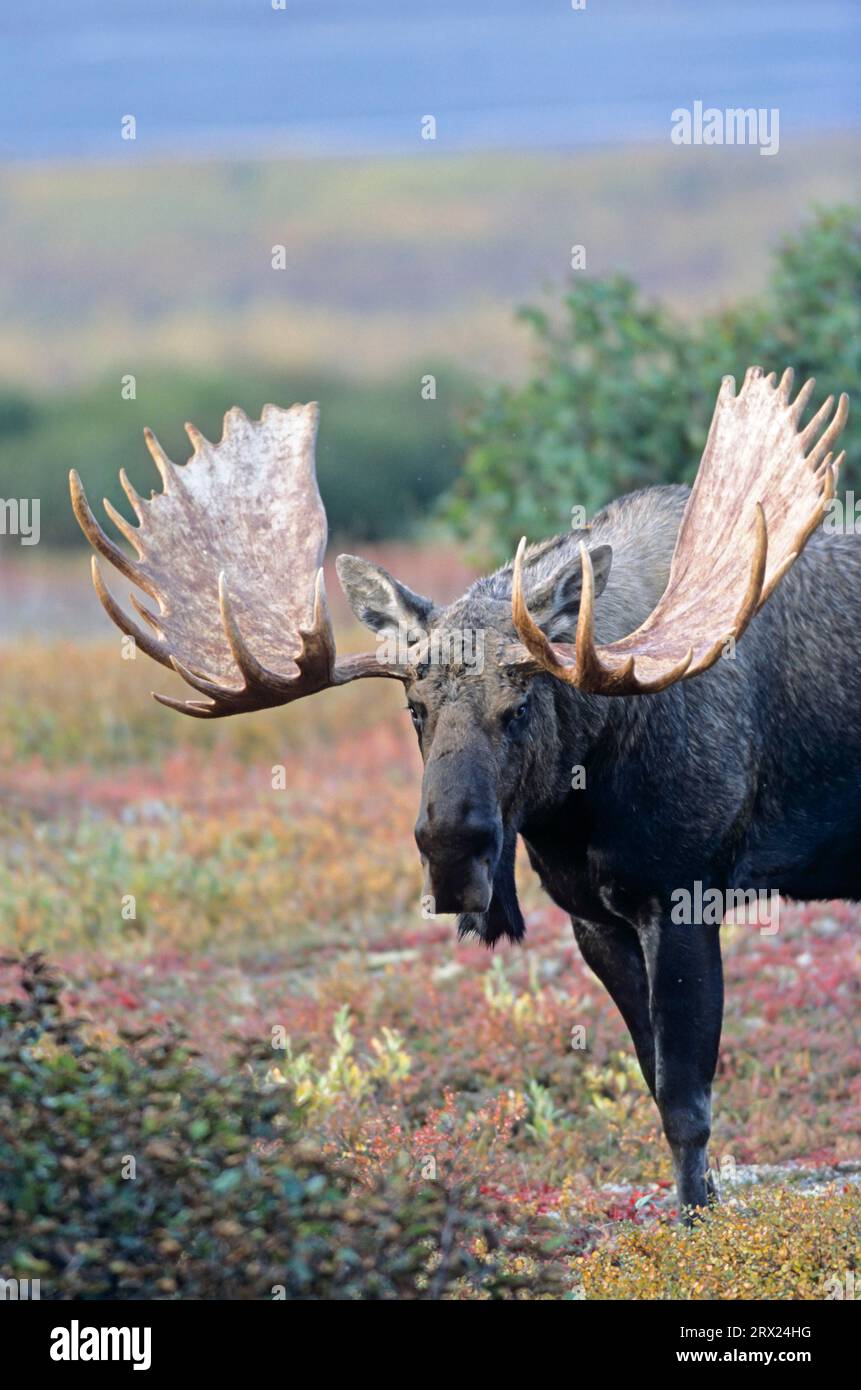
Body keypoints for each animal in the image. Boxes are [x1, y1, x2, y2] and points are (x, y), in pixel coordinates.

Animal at [70, 366, 853, 1215]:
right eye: (413, 707)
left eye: (520, 706)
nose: (451, 853)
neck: (582, 800)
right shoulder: (591, 916)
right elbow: (652, 1082)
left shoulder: (680, 890)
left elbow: (686, 1099)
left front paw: (697, 1214)